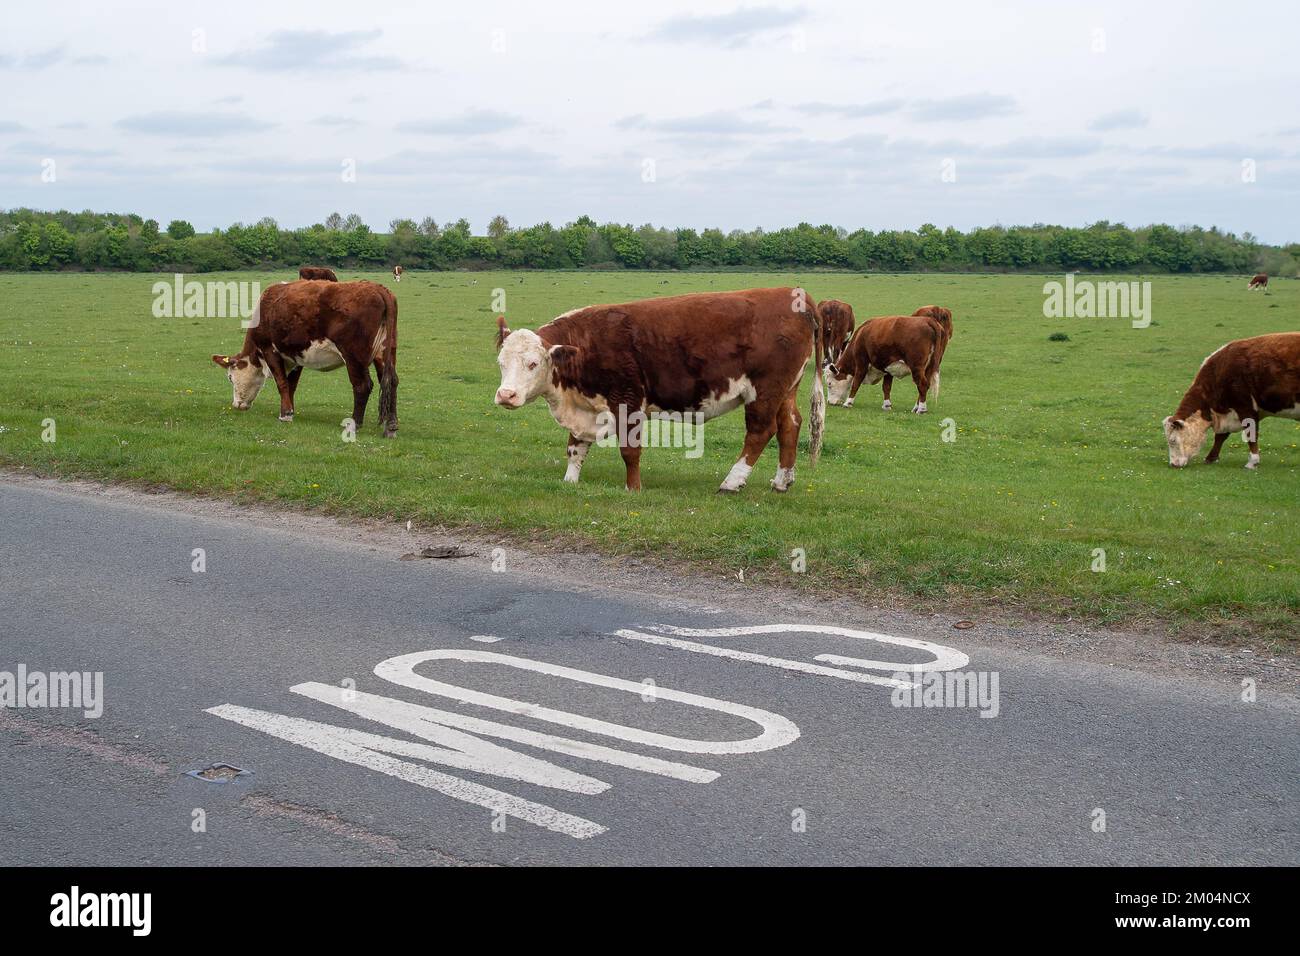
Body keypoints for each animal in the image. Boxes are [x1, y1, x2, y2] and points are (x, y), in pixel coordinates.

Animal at [212, 280, 398, 437]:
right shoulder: (296, 356)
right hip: (384, 353)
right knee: (392, 381)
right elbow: (291, 385)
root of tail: (377, 288)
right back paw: (391, 426)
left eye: (230, 378)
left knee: (362, 386)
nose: (237, 404)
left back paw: (354, 424)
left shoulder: (270, 350)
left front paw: (285, 415)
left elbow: (282, 383)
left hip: (354, 357)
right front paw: (289, 410)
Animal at [493, 287, 825, 493]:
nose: (506, 395)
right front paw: (570, 481)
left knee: (760, 432)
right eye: (500, 362)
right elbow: (575, 447)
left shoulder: (626, 400)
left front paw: (633, 488)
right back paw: (782, 481)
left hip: (765, 390)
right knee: (789, 426)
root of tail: (795, 295)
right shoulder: (587, 406)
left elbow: (629, 451)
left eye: (533, 363)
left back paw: (731, 483)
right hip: (786, 390)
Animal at [1162, 332, 1300, 470]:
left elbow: (1250, 435)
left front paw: (1252, 462)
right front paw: (1211, 458)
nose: (1173, 464)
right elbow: (1220, 437)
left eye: (1172, 441)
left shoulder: (1244, 407)